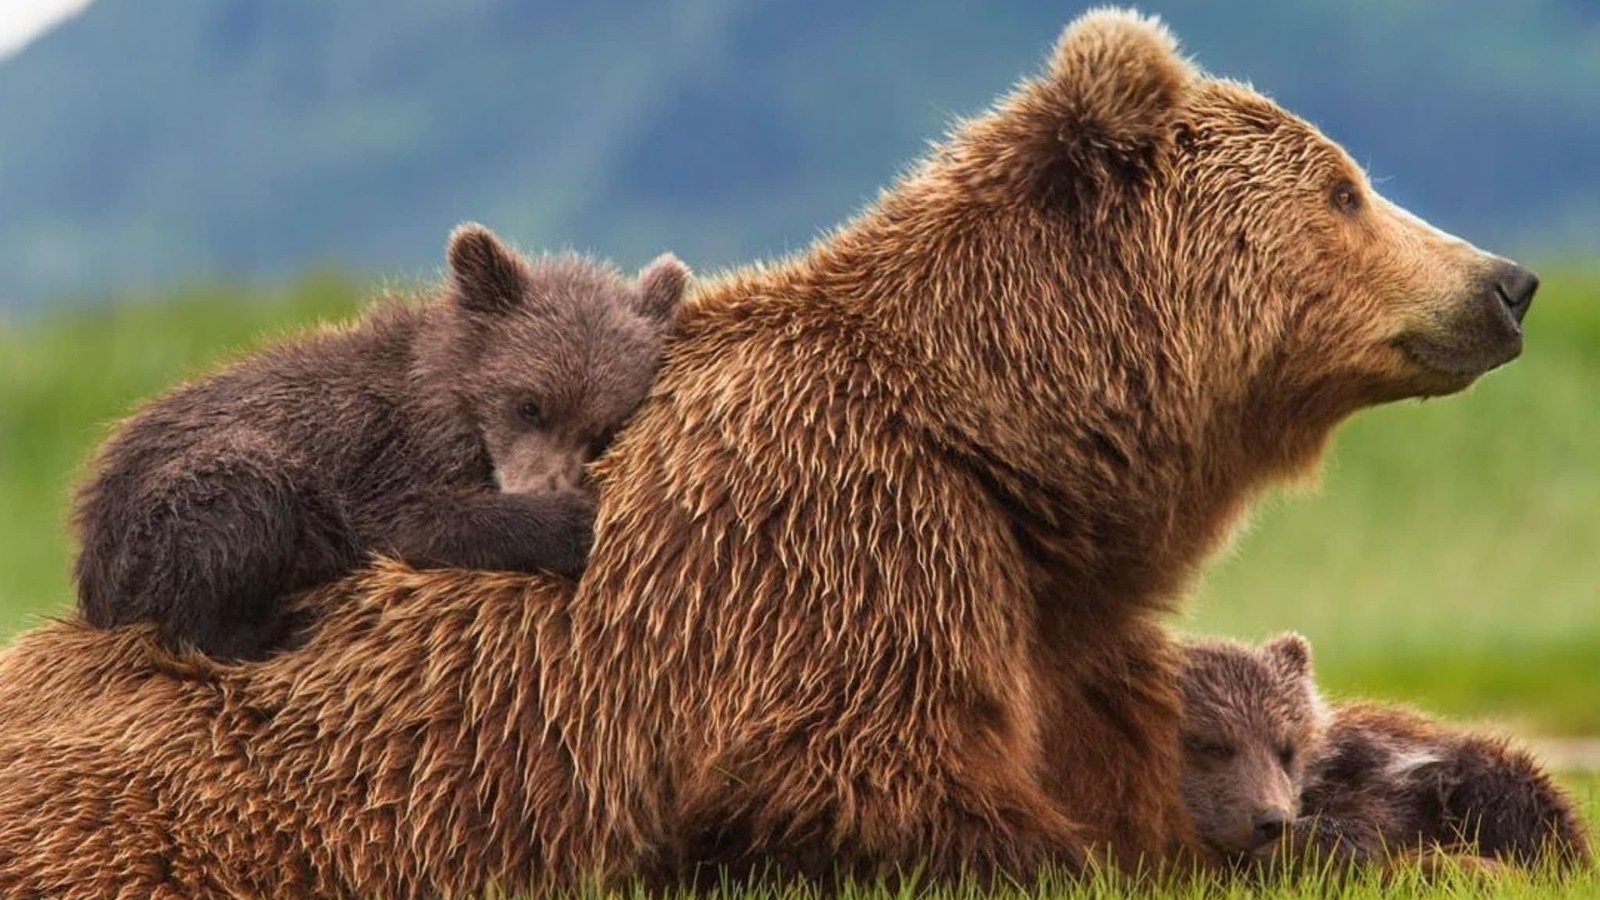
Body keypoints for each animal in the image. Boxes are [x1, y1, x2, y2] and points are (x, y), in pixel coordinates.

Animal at [71, 223, 689, 660]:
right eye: (530, 404)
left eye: (602, 428)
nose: (544, 486)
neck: (449, 400)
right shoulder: (384, 457)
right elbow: (416, 522)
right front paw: (571, 521)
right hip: (173, 509)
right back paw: (280, 628)